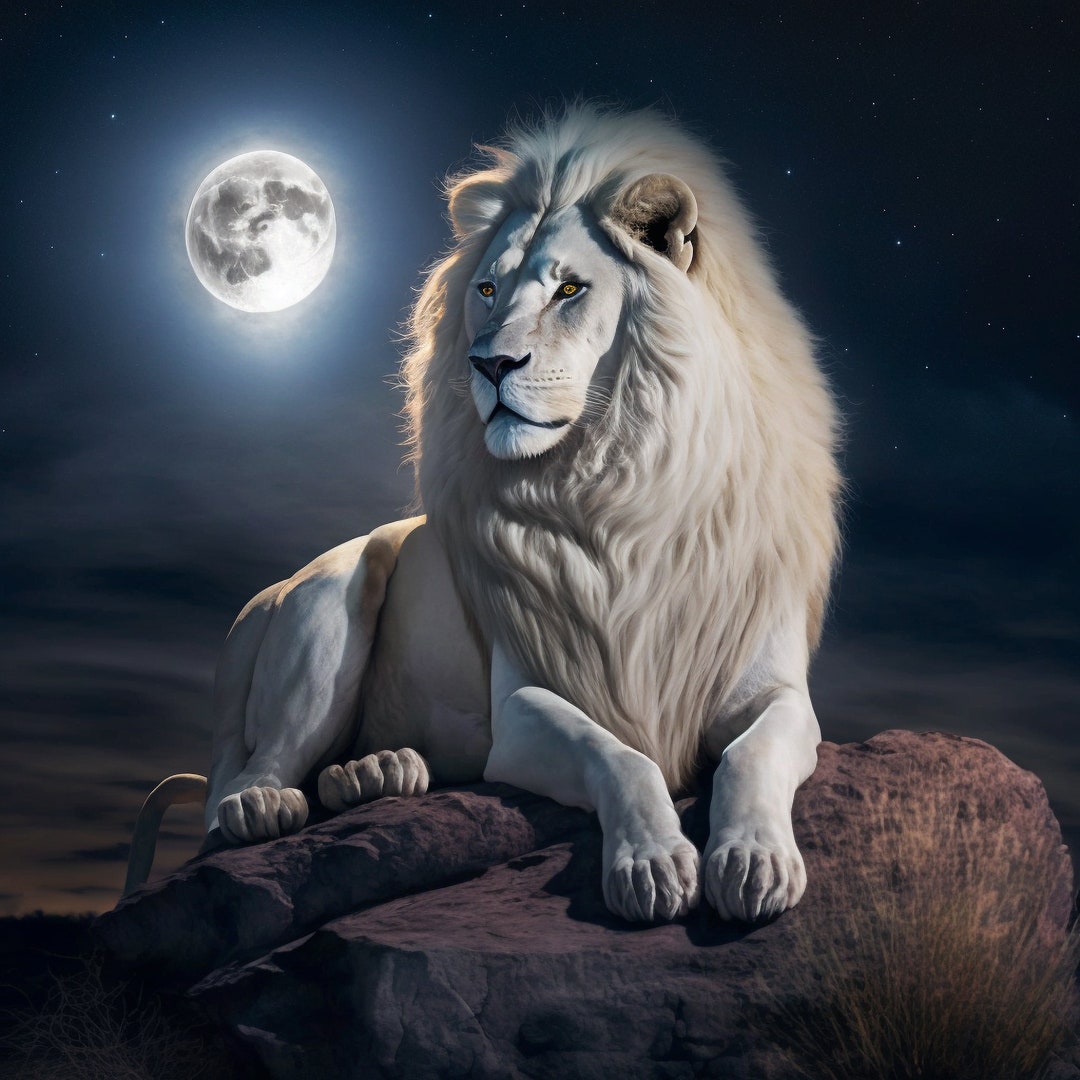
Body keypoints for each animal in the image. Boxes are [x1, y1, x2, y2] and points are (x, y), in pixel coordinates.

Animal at [126, 105, 840, 924]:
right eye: (490, 289)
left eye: (570, 288)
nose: (490, 365)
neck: (622, 483)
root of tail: (257, 605)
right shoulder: (524, 709)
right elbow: (621, 758)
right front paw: (652, 866)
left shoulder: (775, 688)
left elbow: (753, 753)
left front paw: (755, 862)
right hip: (326, 602)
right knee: (246, 781)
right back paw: (271, 804)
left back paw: (377, 774)